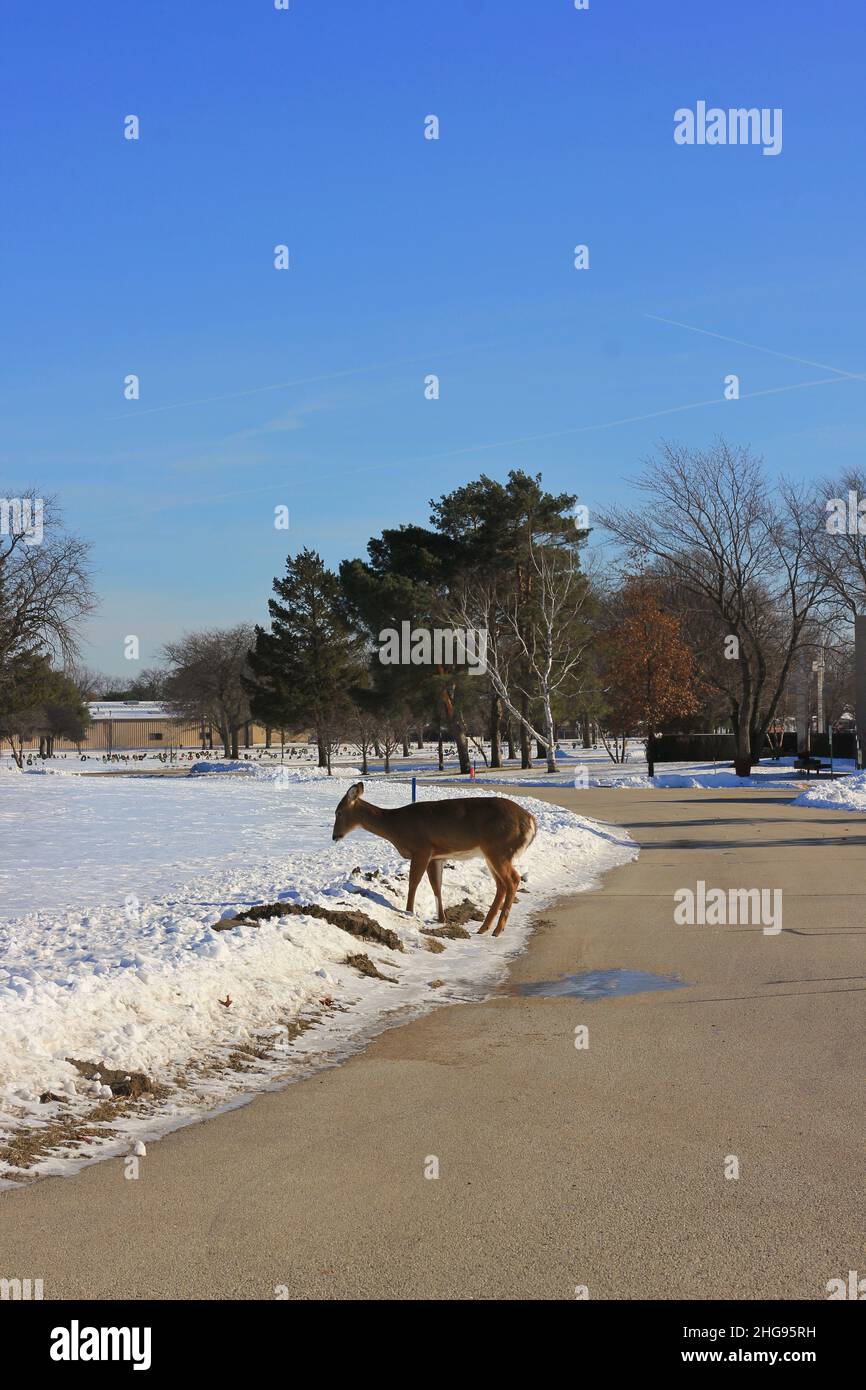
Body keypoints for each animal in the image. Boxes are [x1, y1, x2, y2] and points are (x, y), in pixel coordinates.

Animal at [331, 782, 536, 937]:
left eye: (339, 812)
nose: (334, 836)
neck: (396, 826)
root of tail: (531, 821)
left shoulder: (422, 849)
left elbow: (413, 882)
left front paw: (409, 911)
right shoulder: (436, 856)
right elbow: (436, 885)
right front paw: (441, 919)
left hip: (500, 849)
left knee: (513, 880)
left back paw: (498, 929)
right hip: (491, 853)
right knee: (501, 884)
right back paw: (484, 928)